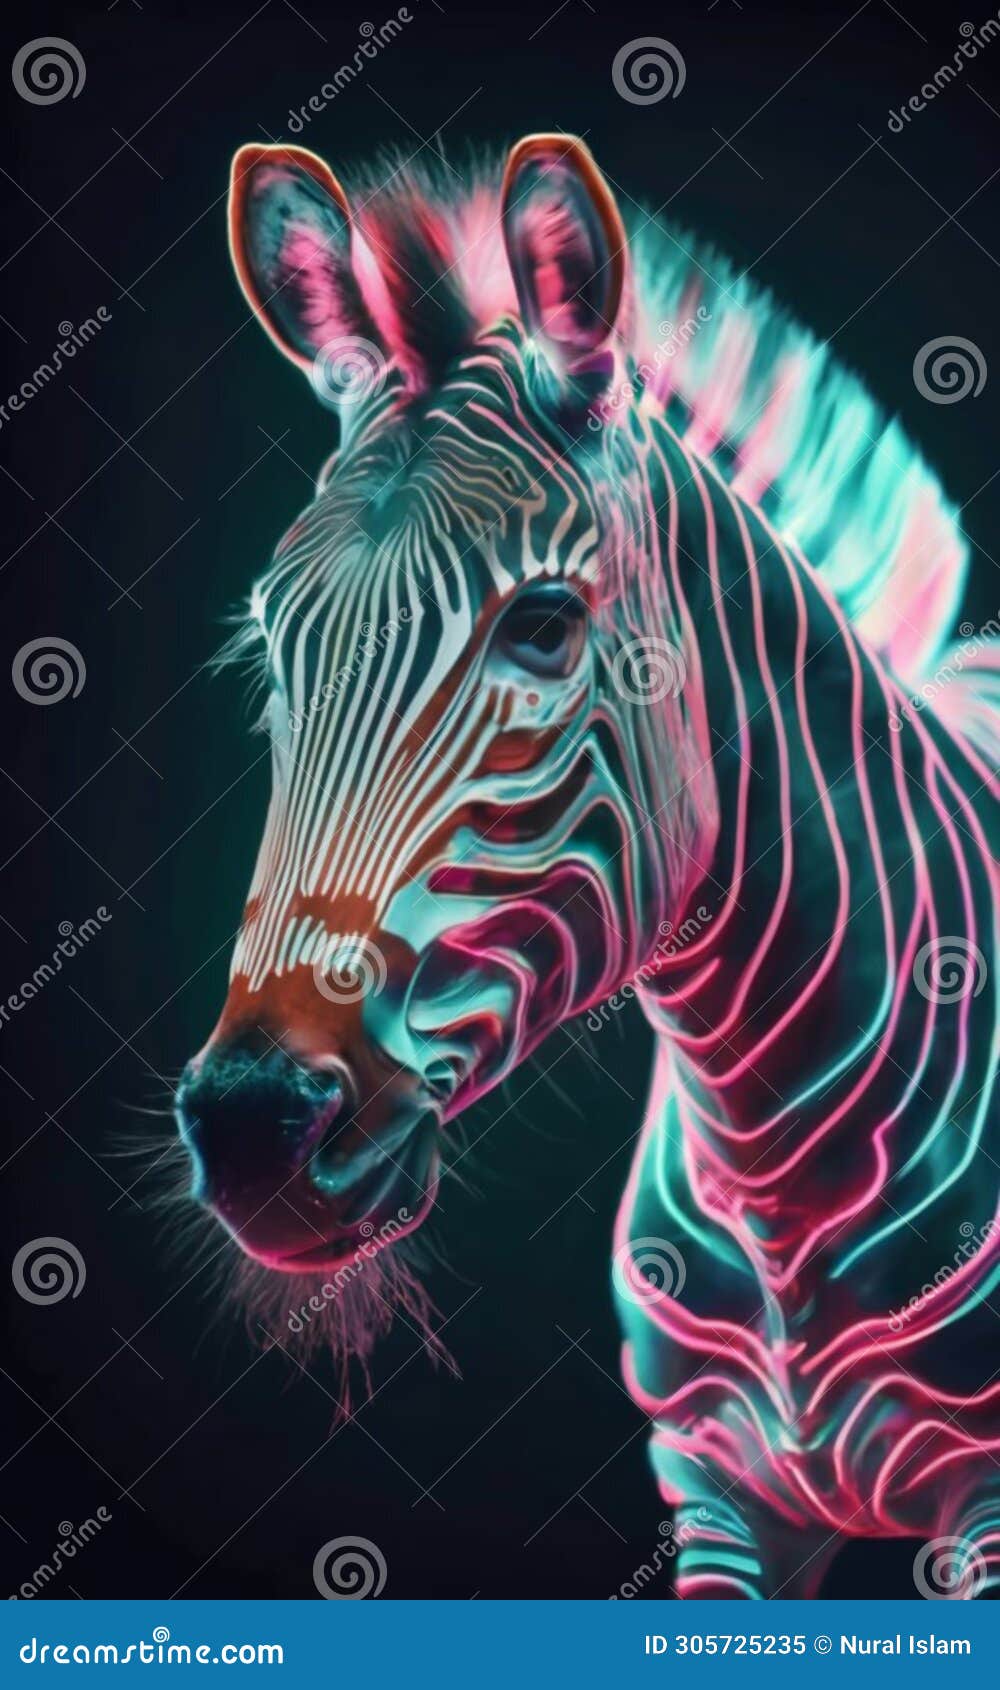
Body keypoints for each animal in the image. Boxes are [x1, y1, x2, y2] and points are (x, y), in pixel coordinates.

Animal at [176, 133, 1000, 1599]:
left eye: (548, 625)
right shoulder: (718, 1493)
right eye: (275, 638)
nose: (254, 1128)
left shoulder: (983, 1503)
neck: (775, 1164)